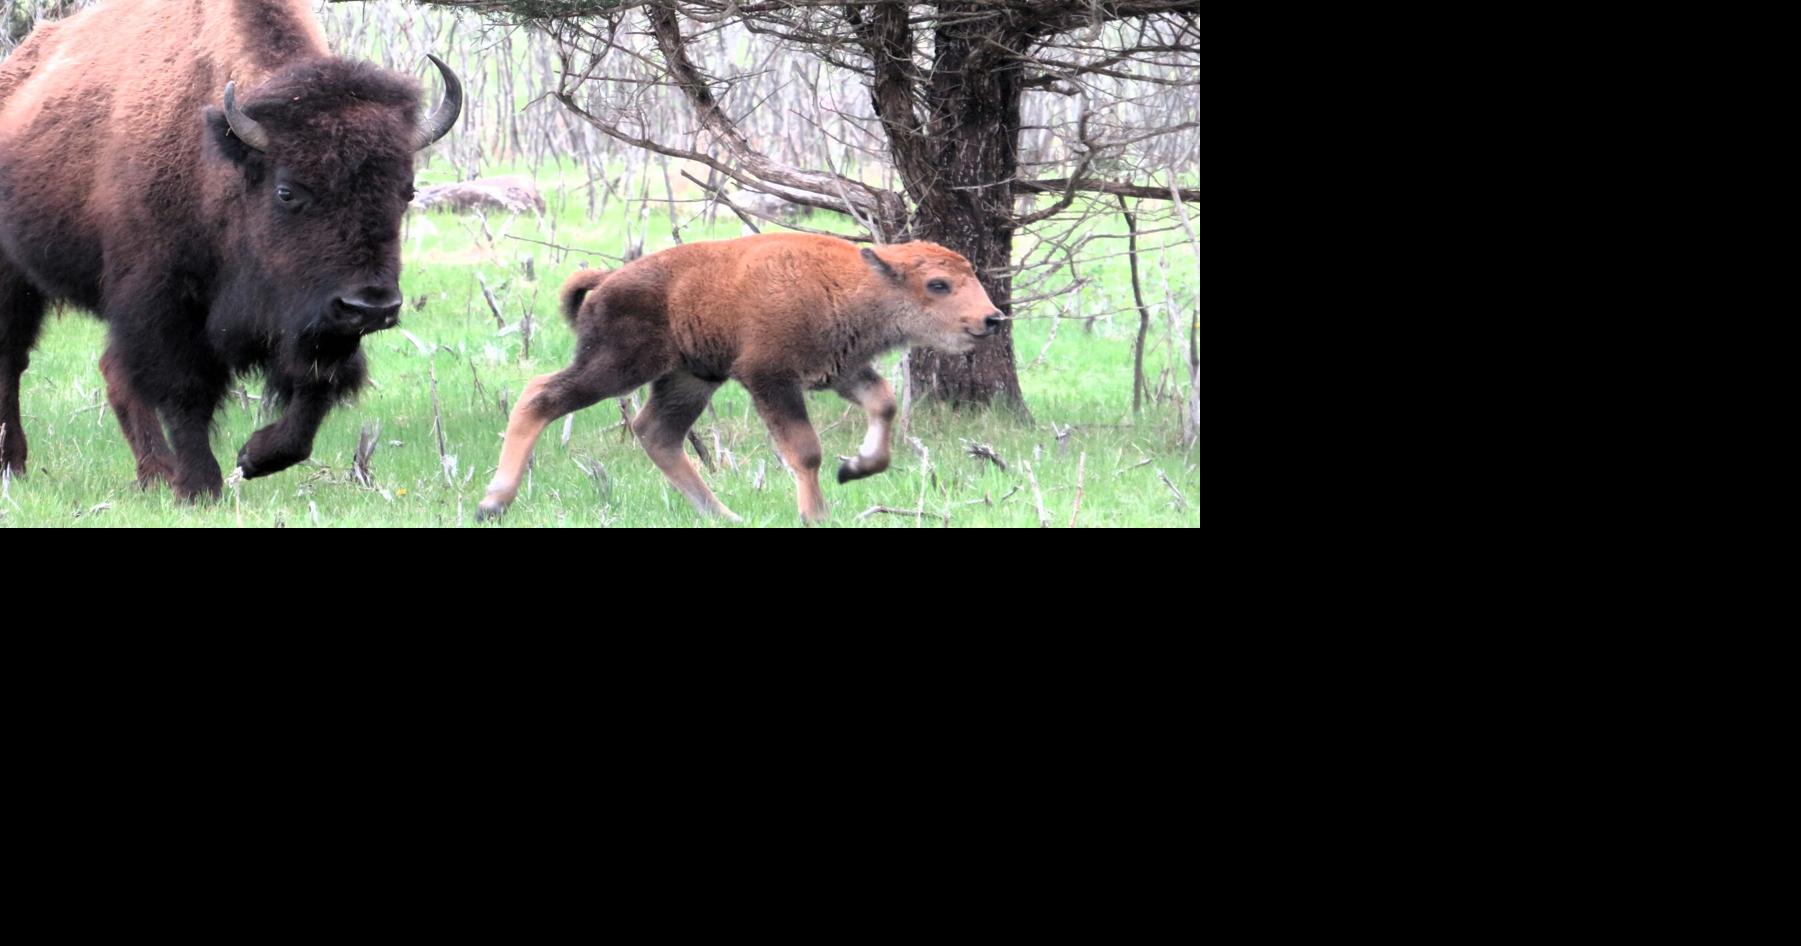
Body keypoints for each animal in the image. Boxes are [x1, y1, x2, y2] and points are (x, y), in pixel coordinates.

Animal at [0, 0, 460, 498]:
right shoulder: (165, 303)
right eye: (287, 191)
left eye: (407, 191)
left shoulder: (314, 326)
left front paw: (256, 456)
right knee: (15, 360)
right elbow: (185, 390)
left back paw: (154, 475)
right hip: (15, 279)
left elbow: (317, 387)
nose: (370, 306)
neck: (223, 163)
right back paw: (14, 465)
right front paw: (200, 487)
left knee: (111, 371)